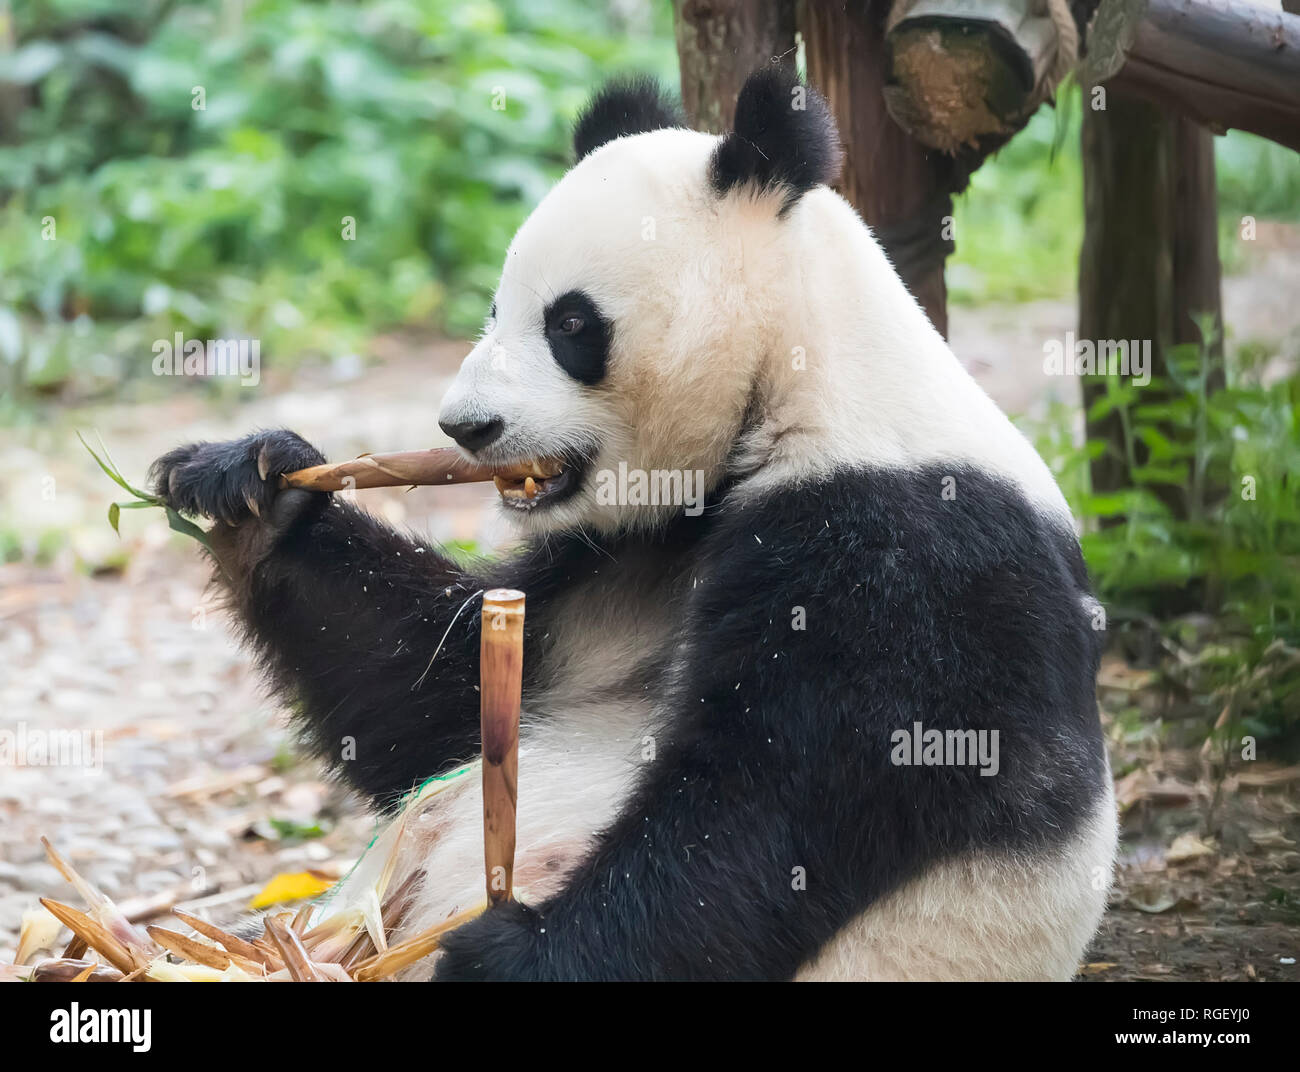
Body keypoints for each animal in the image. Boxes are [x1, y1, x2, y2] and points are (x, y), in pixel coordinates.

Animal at [151, 67, 1117, 981]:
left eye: (572, 323)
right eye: (495, 310)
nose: (466, 427)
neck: (796, 377)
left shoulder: (901, 548)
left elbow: (772, 808)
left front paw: (509, 952)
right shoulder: (625, 551)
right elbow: (436, 699)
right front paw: (254, 489)